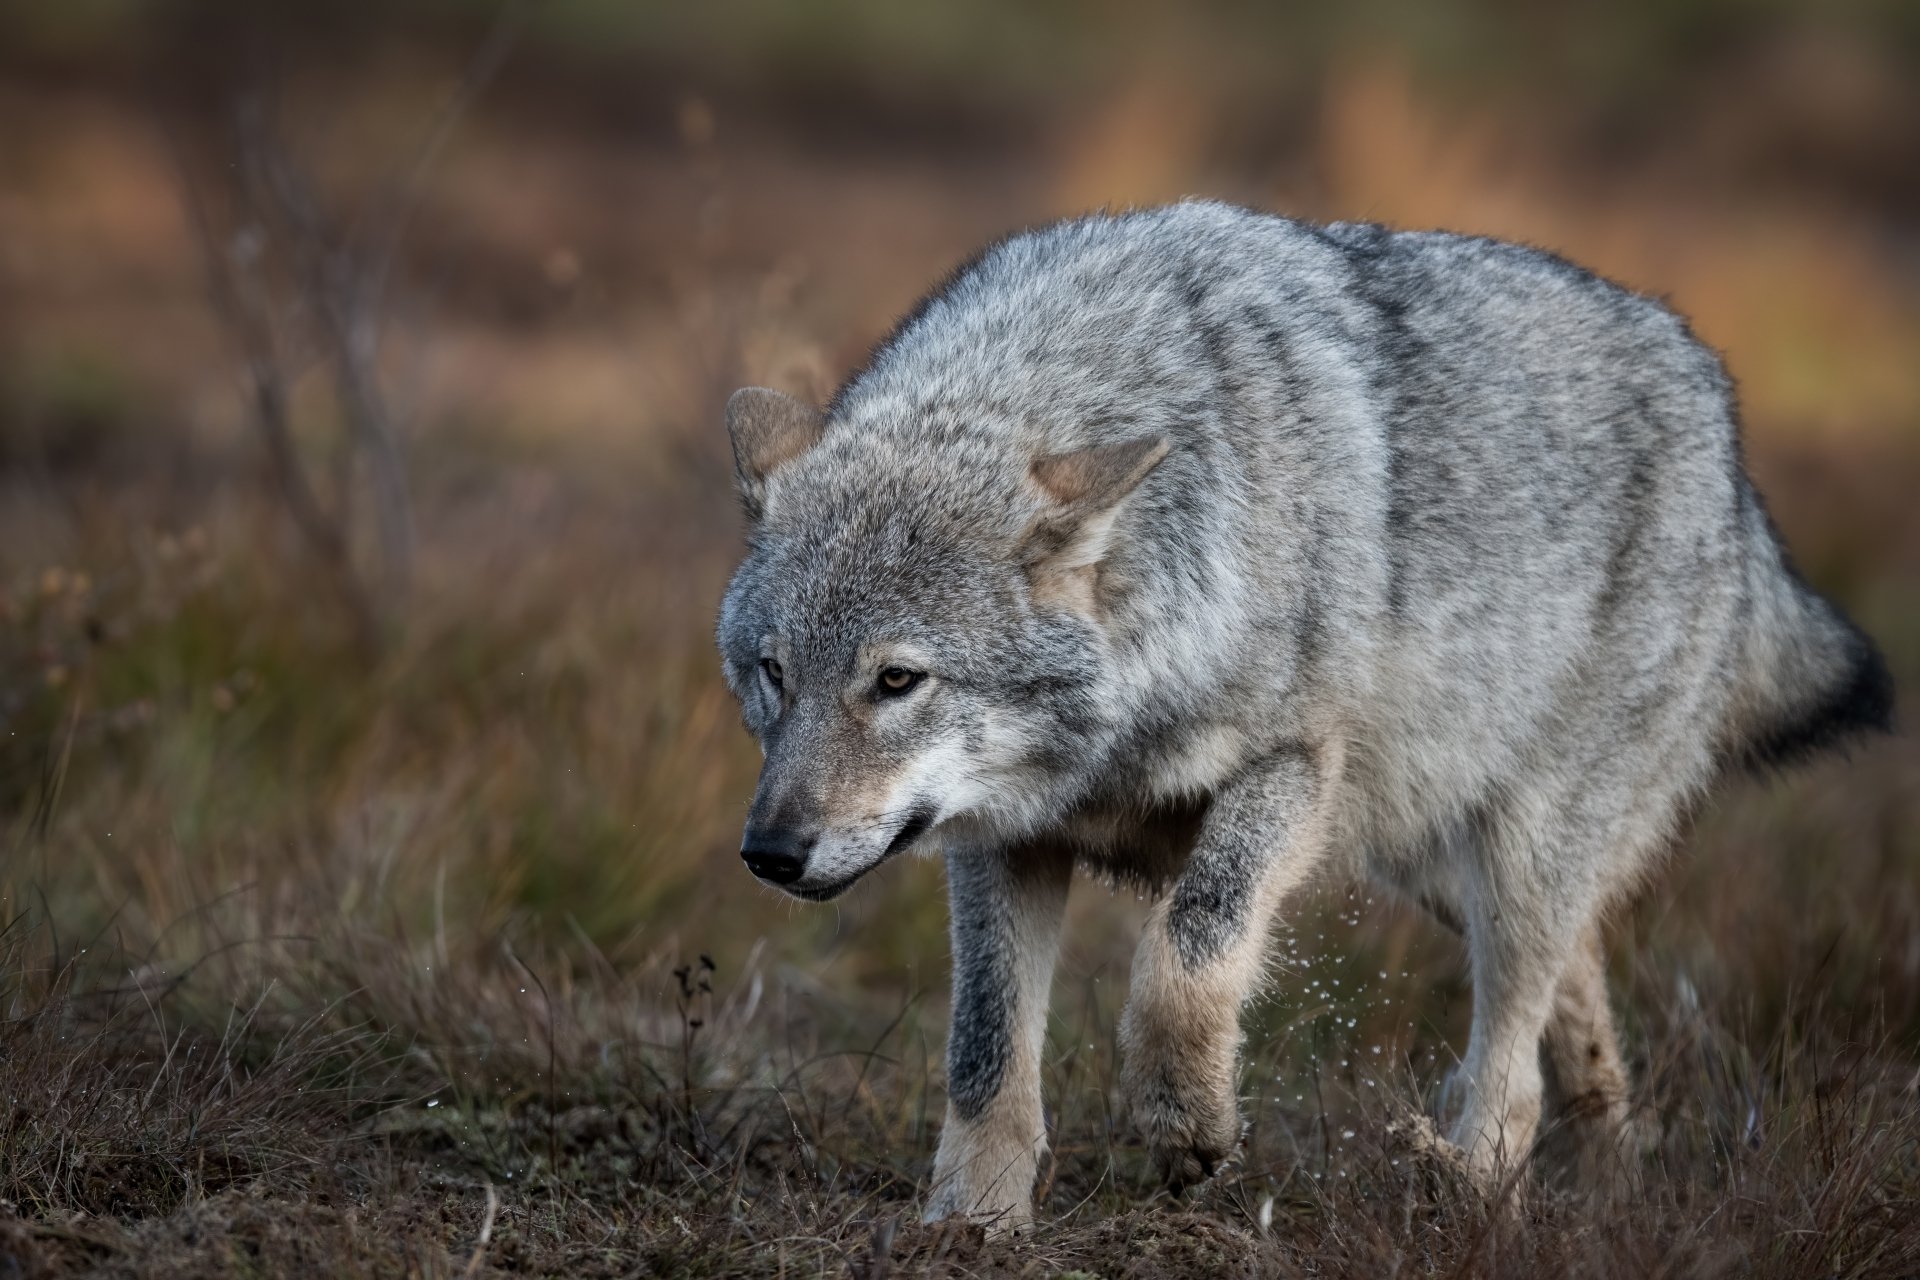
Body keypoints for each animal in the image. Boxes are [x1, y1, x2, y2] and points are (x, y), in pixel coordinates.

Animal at [714, 200, 1893, 1228]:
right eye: (773, 674)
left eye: (897, 680)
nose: (769, 852)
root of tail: (1715, 399)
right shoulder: (1005, 836)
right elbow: (985, 1045)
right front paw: (973, 1220)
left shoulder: (1291, 768)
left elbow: (1188, 952)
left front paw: (1187, 1122)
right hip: (1435, 863)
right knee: (1579, 990)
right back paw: (1613, 1185)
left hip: (1513, 857)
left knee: (1514, 1054)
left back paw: (1467, 1189)